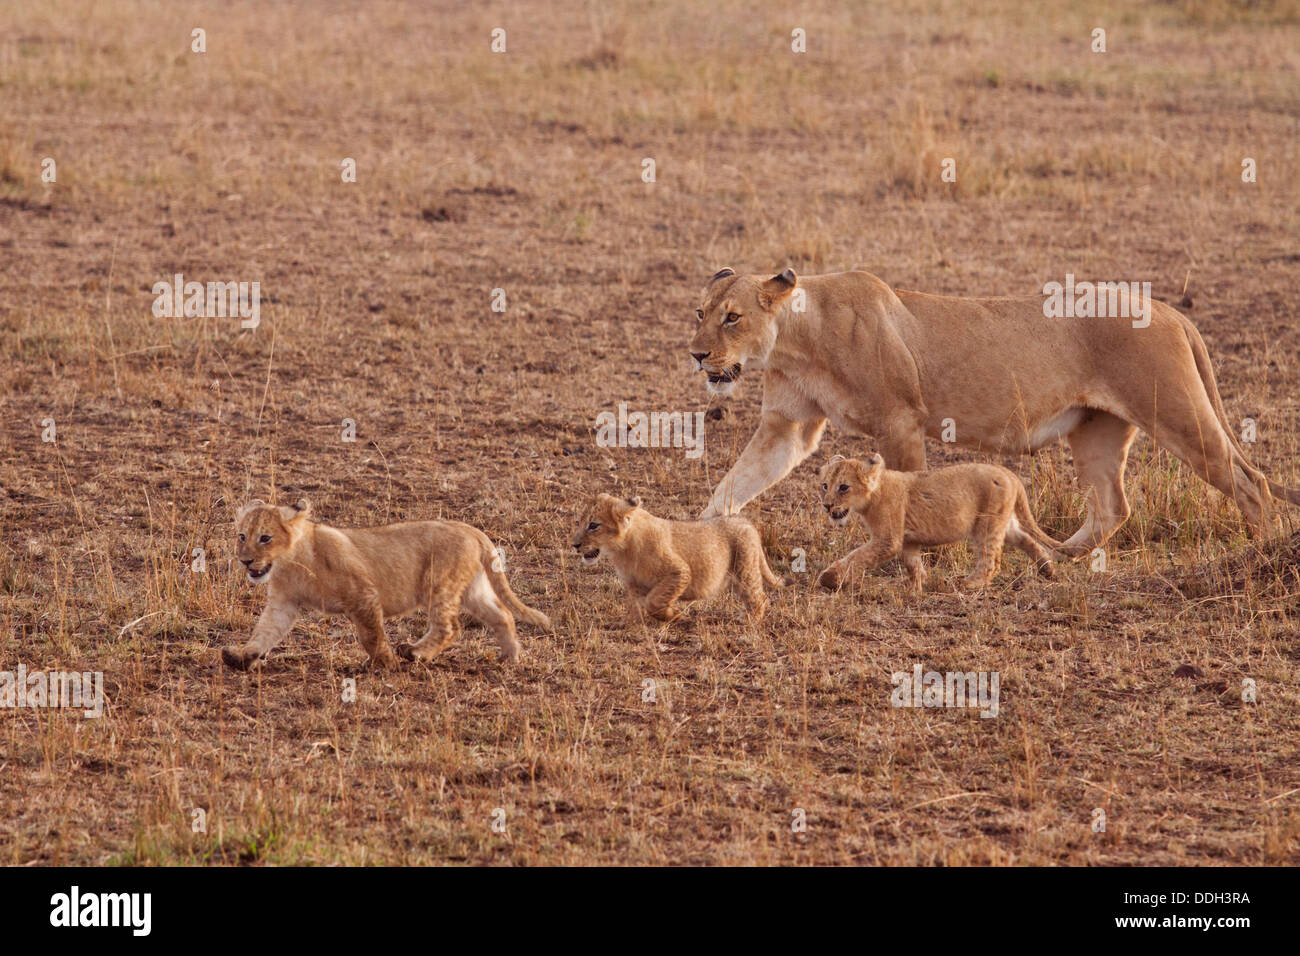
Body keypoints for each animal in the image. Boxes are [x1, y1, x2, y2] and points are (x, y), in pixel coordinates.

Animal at [221, 499, 550, 670]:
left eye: (265, 538)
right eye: (242, 536)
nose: (245, 561)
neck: (290, 562)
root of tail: (471, 529)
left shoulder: (363, 595)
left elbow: (371, 635)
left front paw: (385, 663)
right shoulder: (284, 603)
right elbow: (265, 631)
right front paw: (242, 656)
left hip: (439, 583)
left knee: (449, 627)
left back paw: (415, 653)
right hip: (472, 589)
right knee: (502, 615)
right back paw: (511, 657)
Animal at [569, 493, 785, 623]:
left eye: (593, 525)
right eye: (578, 522)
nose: (574, 545)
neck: (622, 551)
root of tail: (746, 522)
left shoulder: (679, 572)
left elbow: (654, 600)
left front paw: (673, 615)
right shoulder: (634, 584)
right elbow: (635, 606)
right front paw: (633, 624)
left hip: (745, 569)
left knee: (758, 596)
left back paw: (750, 619)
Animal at [690, 268, 1299, 555]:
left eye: (732, 317)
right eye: (700, 313)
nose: (696, 355)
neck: (796, 339)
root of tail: (1173, 312)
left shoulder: (899, 418)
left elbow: (908, 488)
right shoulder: (788, 428)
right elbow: (732, 485)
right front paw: (699, 541)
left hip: (1177, 414)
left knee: (1250, 483)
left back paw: (1264, 550)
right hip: (1096, 433)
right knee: (1112, 507)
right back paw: (1059, 555)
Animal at [816, 454, 1062, 591]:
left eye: (843, 487)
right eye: (825, 485)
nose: (827, 506)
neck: (872, 495)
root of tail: (1009, 473)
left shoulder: (888, 539)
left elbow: (857, 556)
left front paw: (829, 578)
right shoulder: (907, 540)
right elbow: (912, 563)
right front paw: (916, 585)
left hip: (986, 524)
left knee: (991, 562)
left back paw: (967, 584)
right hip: (1003, 522)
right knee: (1026, 539)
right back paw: (1047, 569)